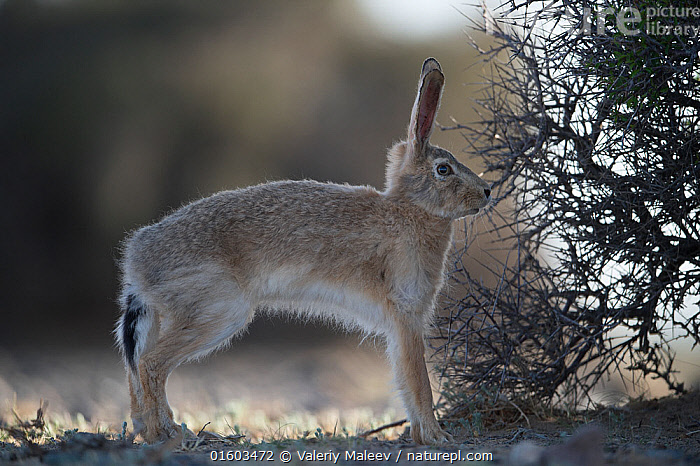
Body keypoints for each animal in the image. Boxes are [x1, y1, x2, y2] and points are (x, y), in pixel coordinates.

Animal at [115, 57, 491, 445]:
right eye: (443, 170)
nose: (487, 191)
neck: (411, 210)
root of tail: (136, 260)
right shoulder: (407, 313)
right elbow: (419, 381)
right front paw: (437, 437)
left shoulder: (399, 325)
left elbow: (403, 379)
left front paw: (421, 434)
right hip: (217, 309)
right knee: (151, 363)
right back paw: (169, 434)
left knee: (135, 363)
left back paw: (155, 428)